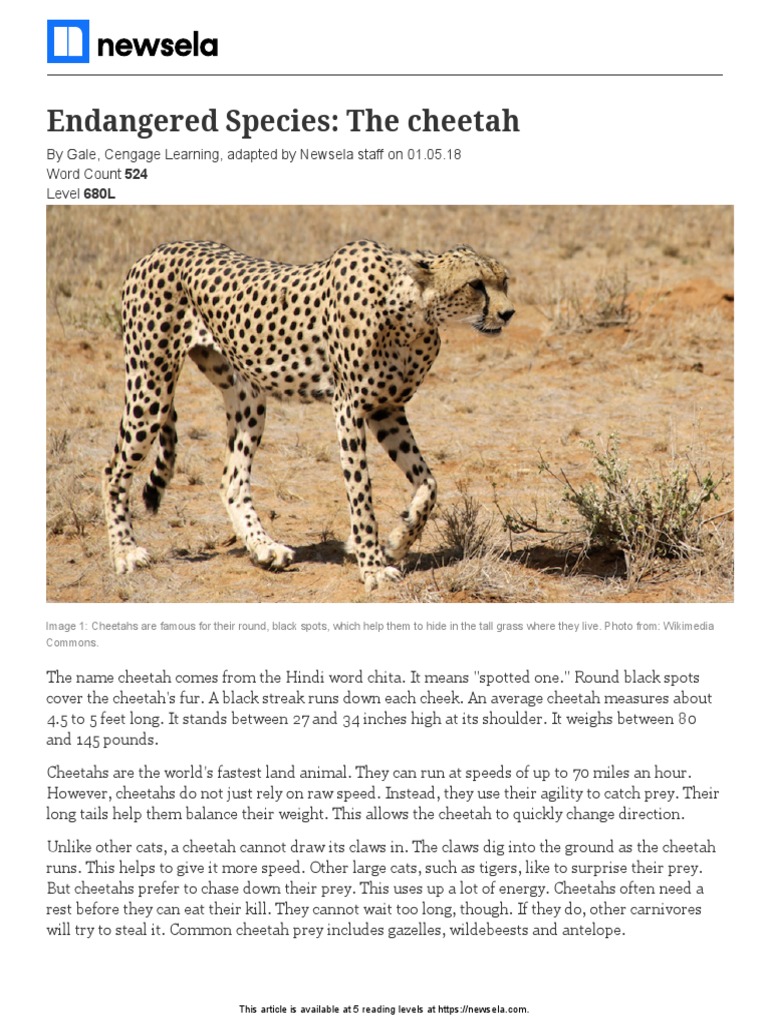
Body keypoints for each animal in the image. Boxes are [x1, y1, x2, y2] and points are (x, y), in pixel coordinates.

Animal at [103, 238, 515, 591]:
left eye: (504, 280)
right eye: (476, 284)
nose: (508, 313)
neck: (411, 312)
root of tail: (157, 249)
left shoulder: (386, 408)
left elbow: (429, 484)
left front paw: (397, 542)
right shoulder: (349, 408)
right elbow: (361, 496)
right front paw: (372, 567)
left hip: (248, 398)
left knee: (231, 480)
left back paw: (264, 547)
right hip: (150, 386)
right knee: (114, 469)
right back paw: (125, 551)